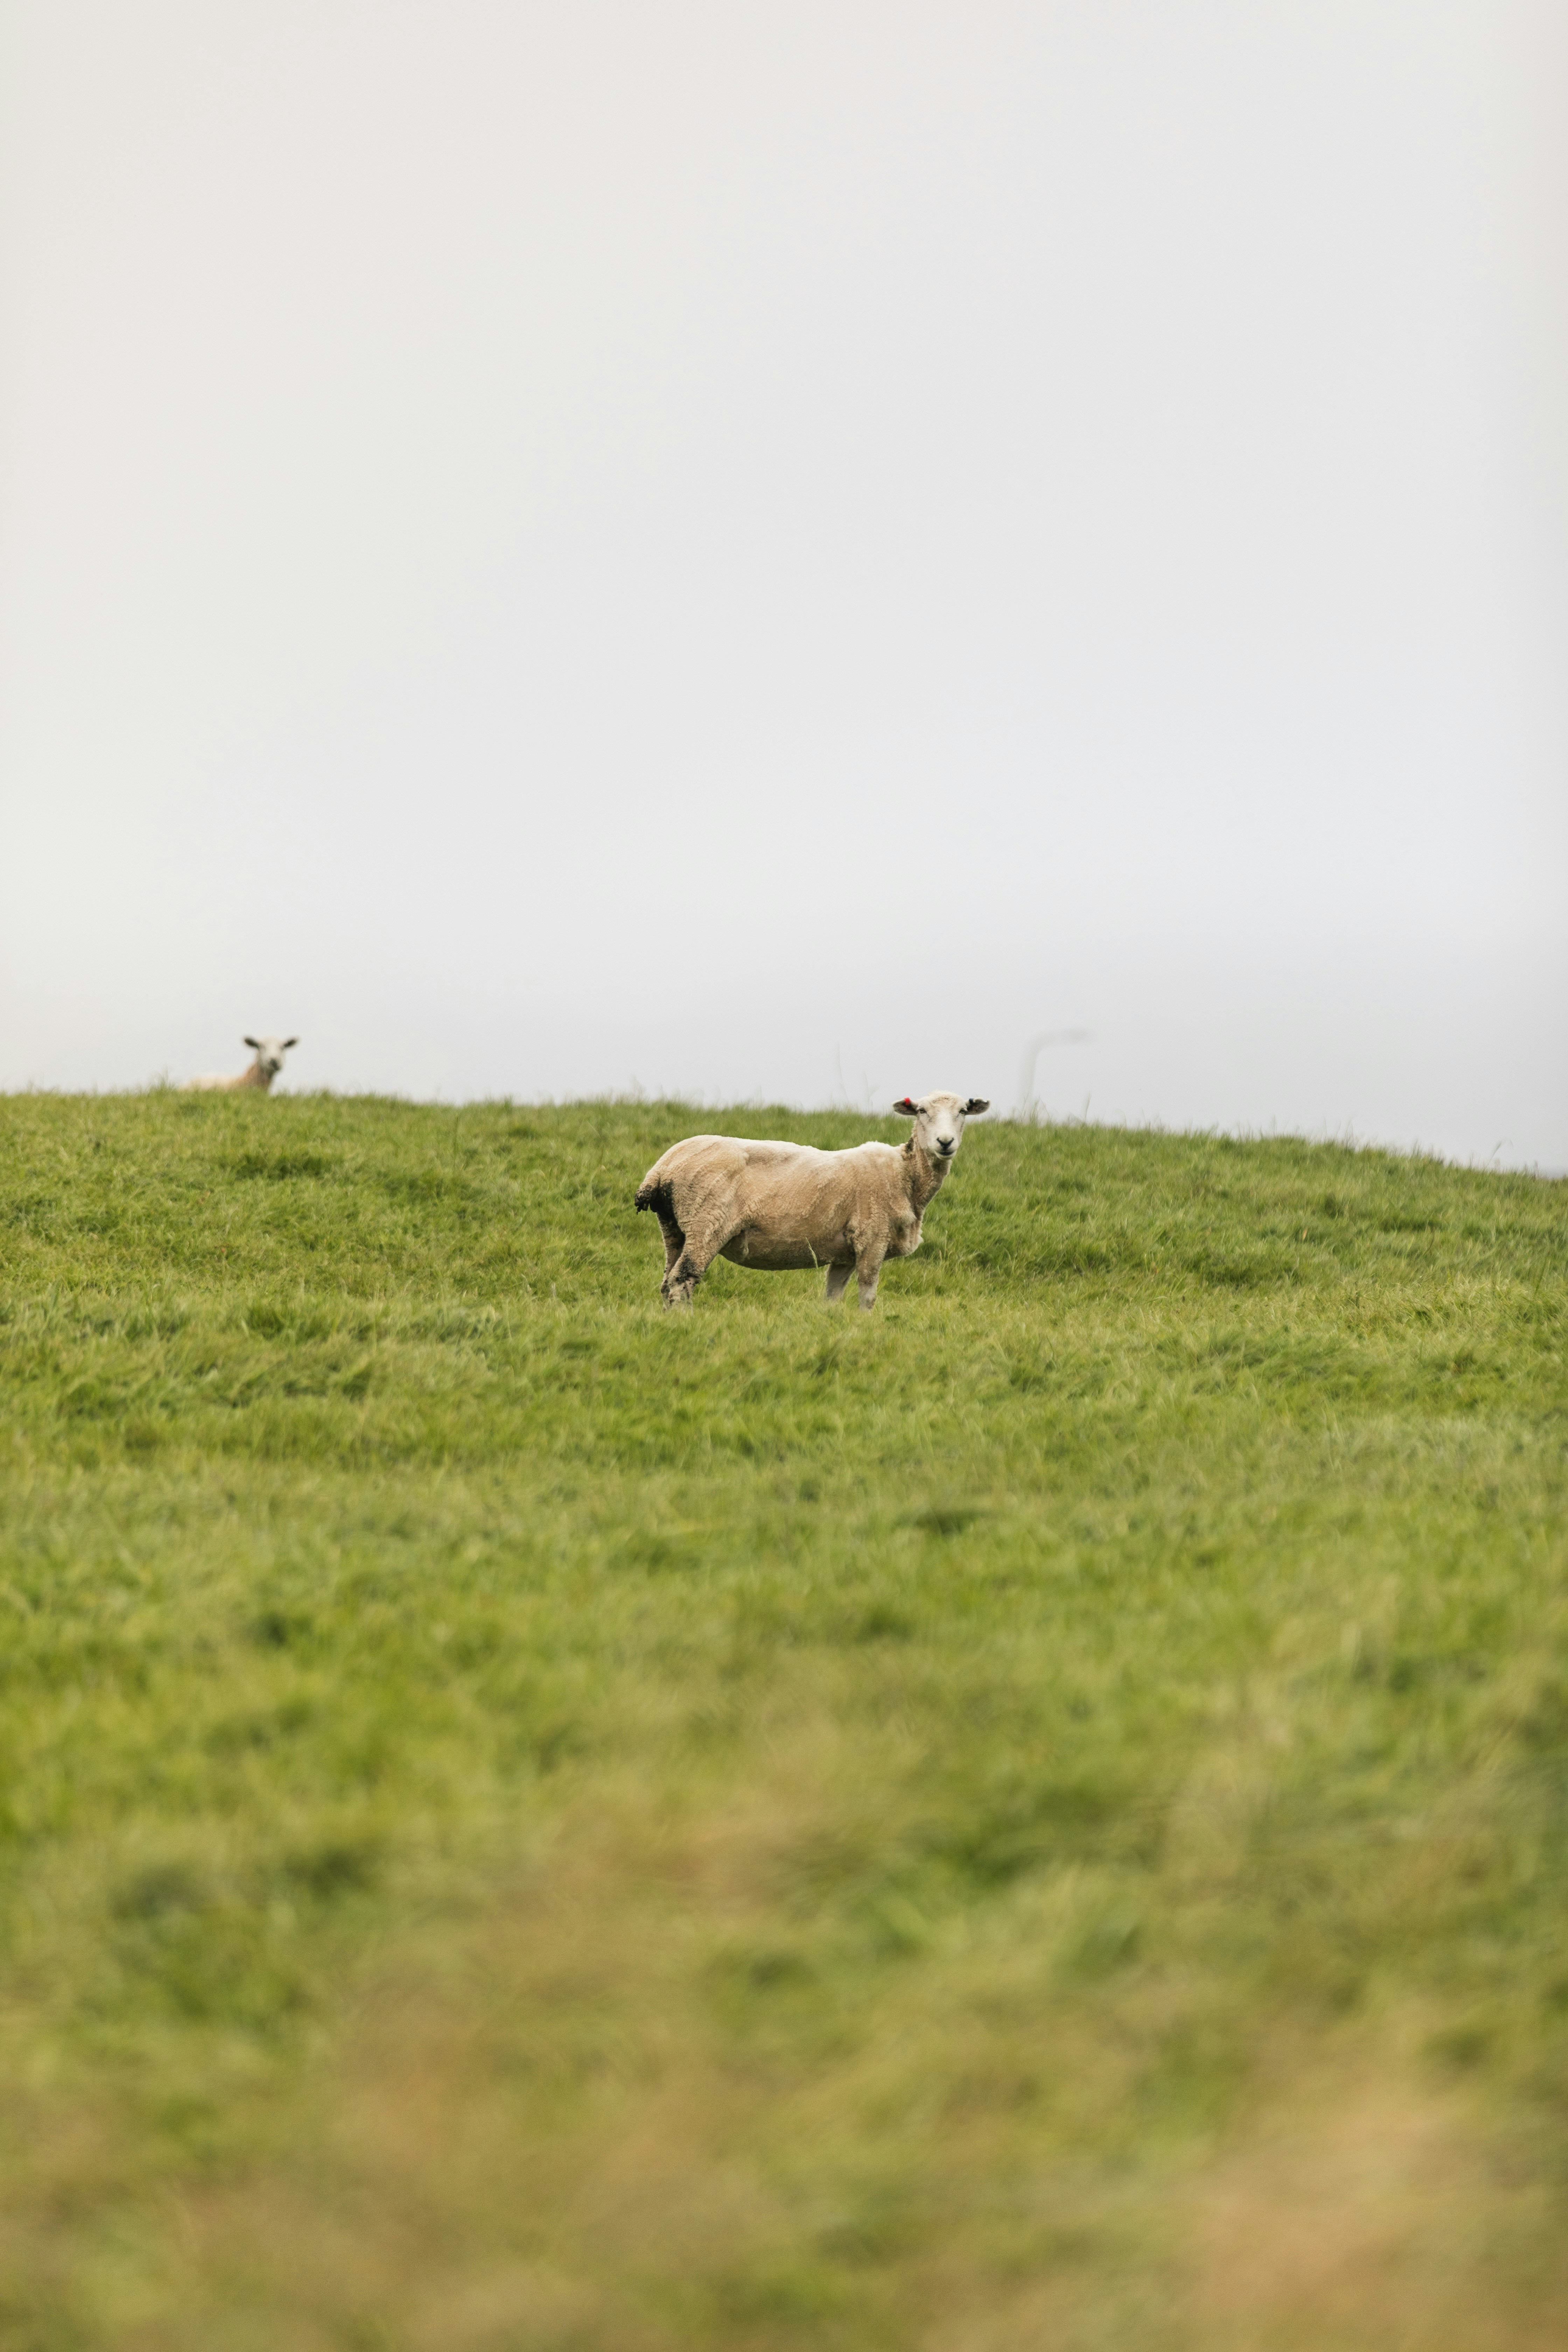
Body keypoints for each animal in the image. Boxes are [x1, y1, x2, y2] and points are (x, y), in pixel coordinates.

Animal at [635, 1091, 990, 1311]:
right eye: (921, 1111)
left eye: (962, 1111)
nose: (945, 1142)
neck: (904, 1174)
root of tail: (663, 1168)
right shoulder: (872, 1239)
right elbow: (868, 1298)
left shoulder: (845, 1253)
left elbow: (832, 1299)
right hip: (706, 1224)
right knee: (682, 1282)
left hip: (675, 1227)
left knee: (667, 1283)